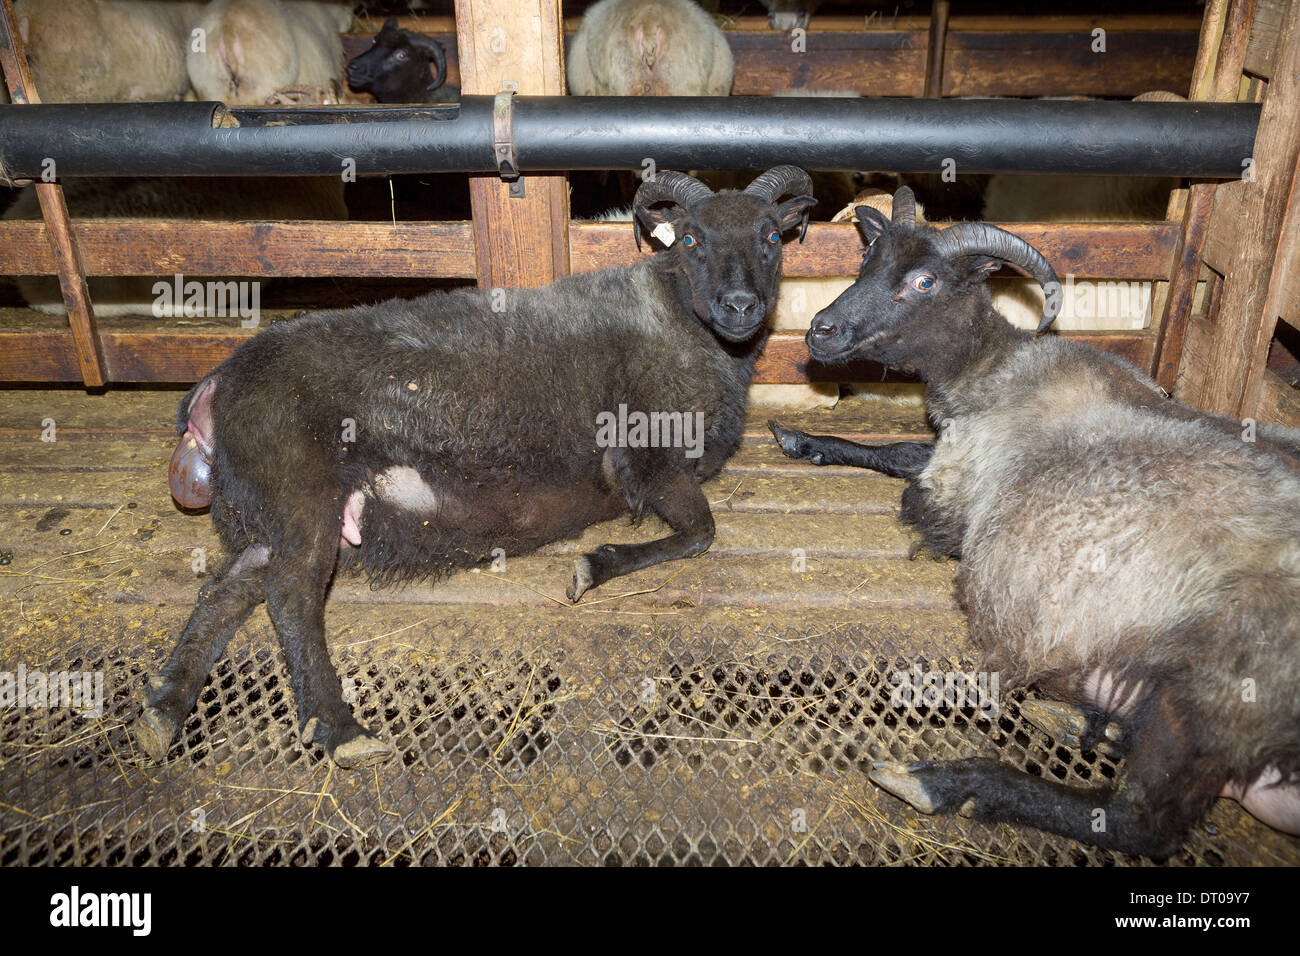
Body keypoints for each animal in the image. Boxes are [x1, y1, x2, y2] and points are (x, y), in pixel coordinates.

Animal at [139, 167, 817, 768]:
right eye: (694, 239)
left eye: (771, 235)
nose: (740, 304)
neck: (690, 330)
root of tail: (213, 387)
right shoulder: (646, 458)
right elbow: (701, 532)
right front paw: (592, 567)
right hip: (301, 485)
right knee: (291, 592)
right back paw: (339, 729)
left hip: (269, 510)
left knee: (227, 589)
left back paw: (164, 709)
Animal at [769, 187, 1300, 859]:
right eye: (867, 261)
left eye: (924, 281)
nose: (821, 329)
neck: (992, 366)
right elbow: (897, 448)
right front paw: (803, 439)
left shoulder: (954, 487)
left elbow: (903, 467)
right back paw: (1077, 723)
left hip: (1214, 695)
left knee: (1140, 822)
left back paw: (943, 781)